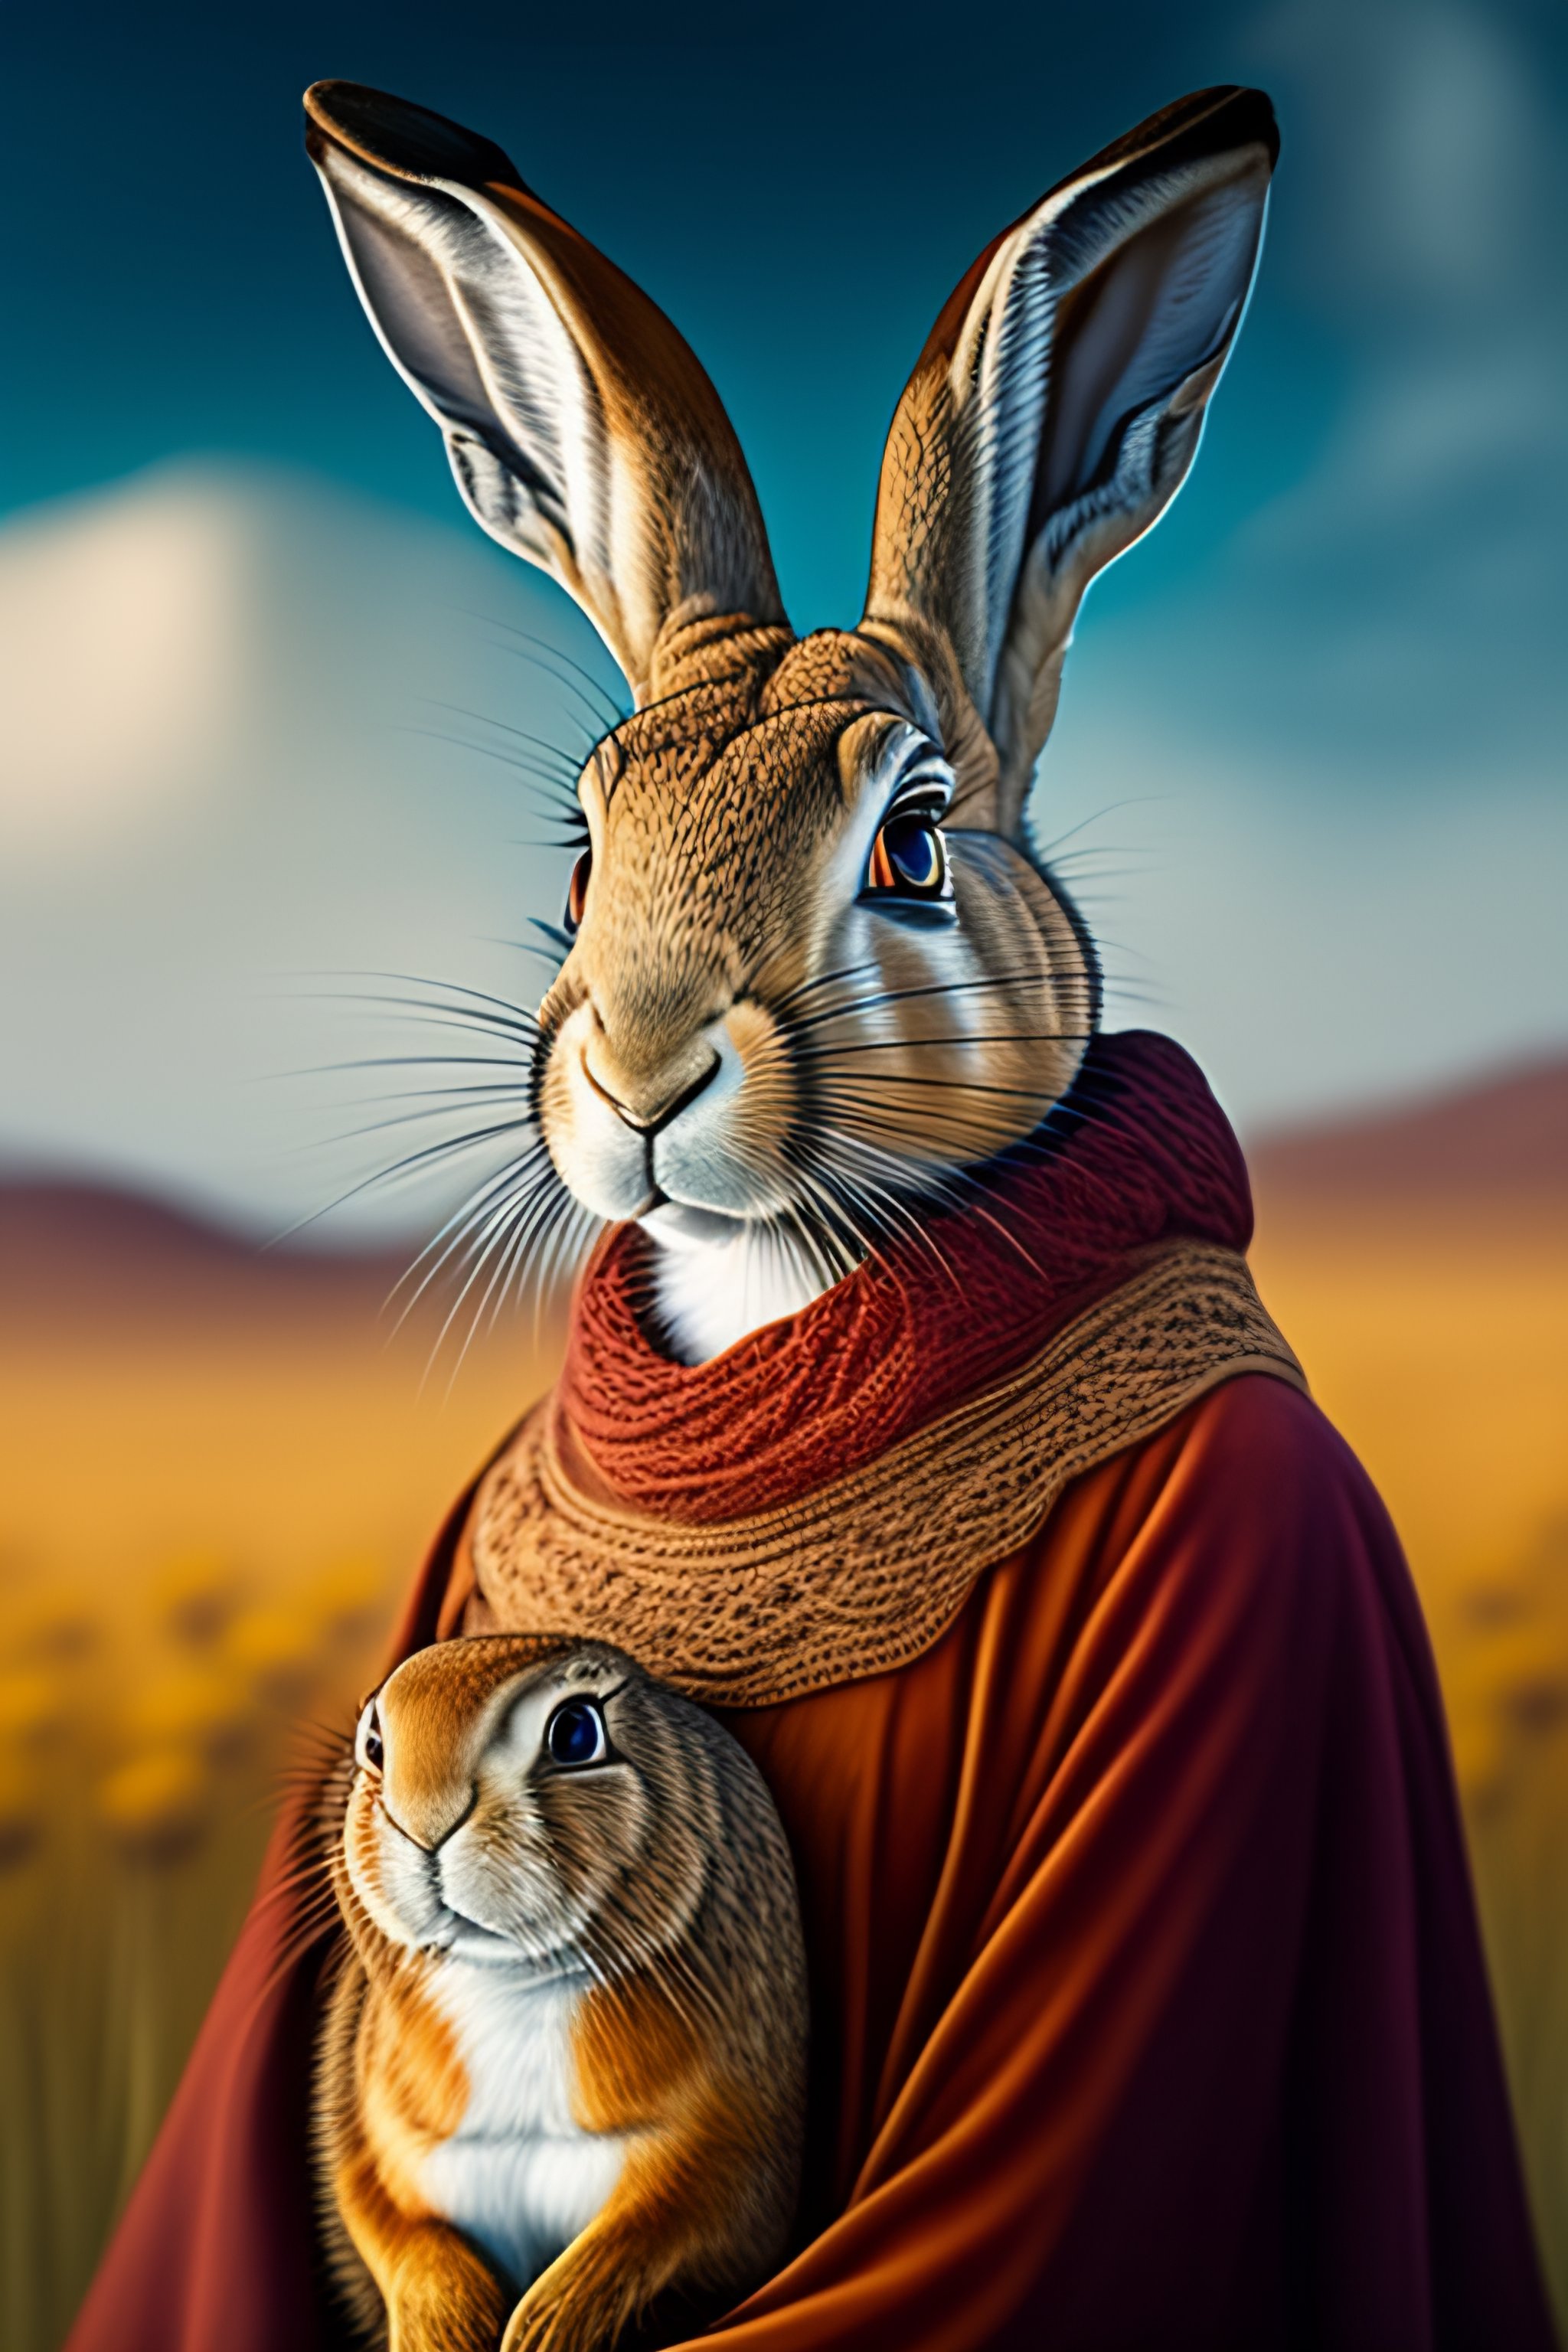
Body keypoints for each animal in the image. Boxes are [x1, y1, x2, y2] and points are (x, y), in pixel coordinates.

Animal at [312, 1635, 808, 2352]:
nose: (424, 1822)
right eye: (375, 1744)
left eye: (576, 1734)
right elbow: (413, 2251)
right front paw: (452, 2332)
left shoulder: (728, 2155)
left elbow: (648, 2236)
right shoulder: (378, 2162)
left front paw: (538, 2332)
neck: (512, 1978)